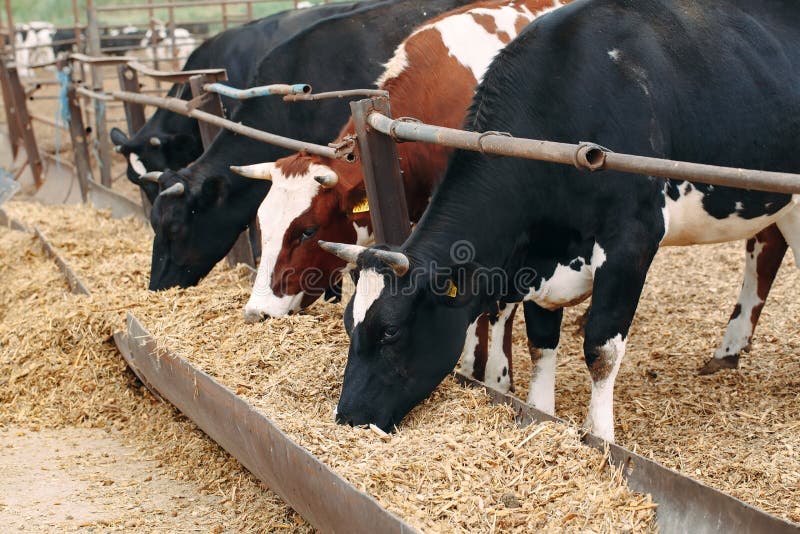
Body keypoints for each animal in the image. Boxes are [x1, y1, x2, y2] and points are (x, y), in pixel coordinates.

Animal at [321, 0, 800, 442]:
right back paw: (728, 353)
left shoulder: (631, 240)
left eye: (390, 332)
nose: (348, 417)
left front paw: (600, 437)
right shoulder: (538, 263)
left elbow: (601, 349)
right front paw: (541, 414)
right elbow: (541, 344)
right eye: (347, 323)